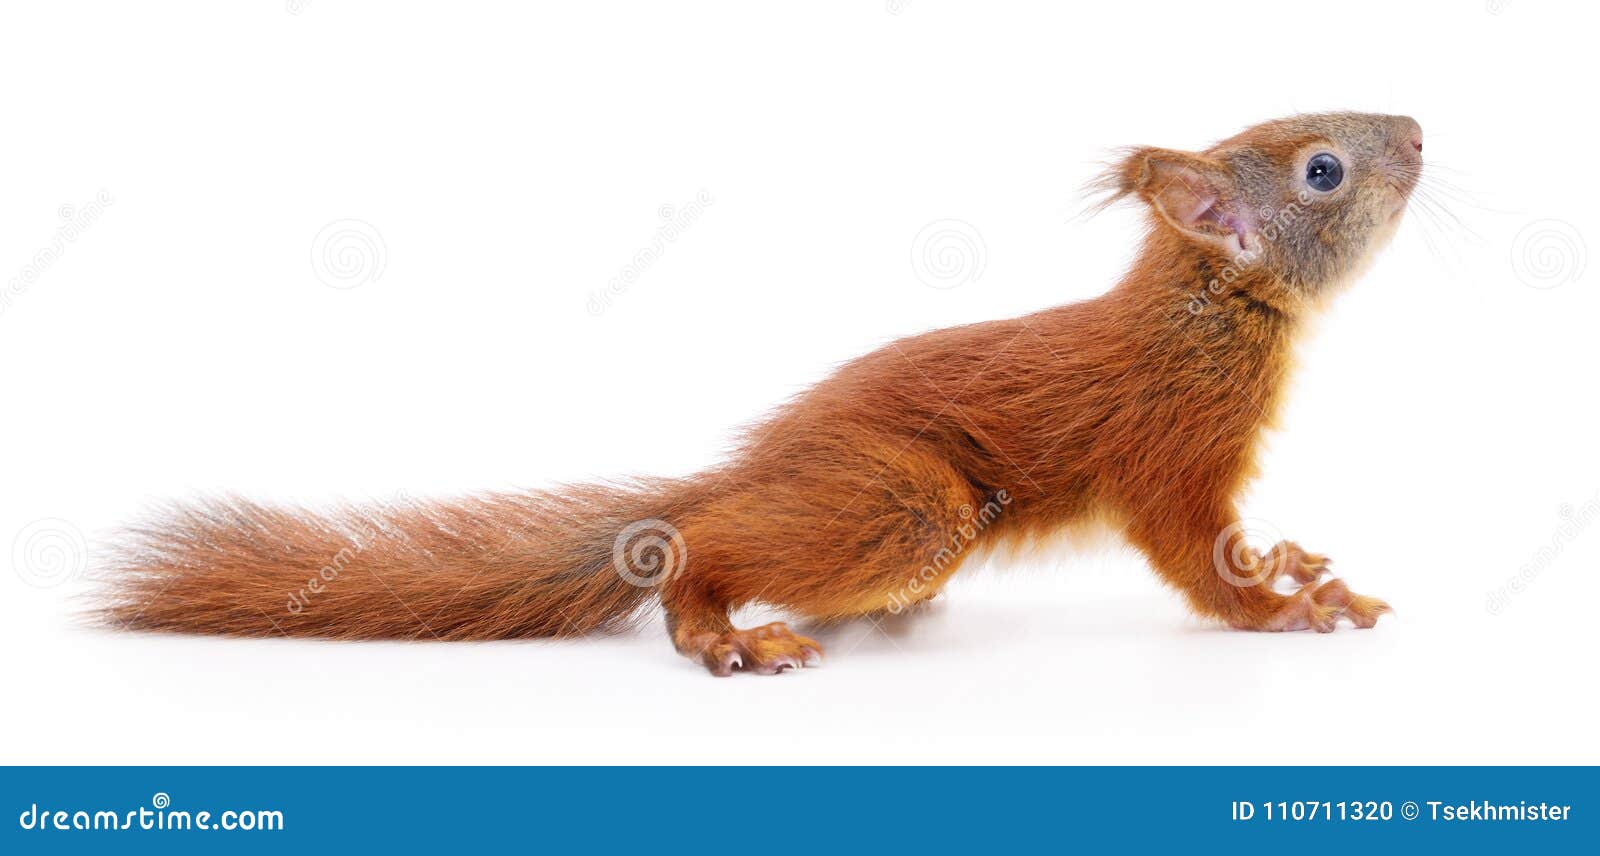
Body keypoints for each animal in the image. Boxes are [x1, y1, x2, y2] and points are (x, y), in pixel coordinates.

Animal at [99, 112, 1422, 676]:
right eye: (1322, 170)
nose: (1414, 128)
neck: (1208, 311)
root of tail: (752, 467)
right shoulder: (1170, 447)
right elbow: (1202, 562)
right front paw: (1289, 607)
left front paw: (1300, 569)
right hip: (907, 505)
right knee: (703, 547)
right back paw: (719, 629)